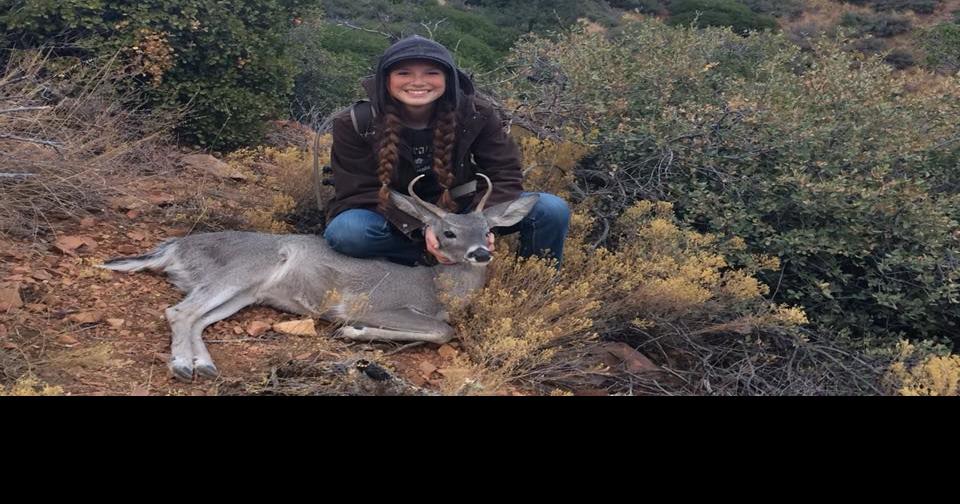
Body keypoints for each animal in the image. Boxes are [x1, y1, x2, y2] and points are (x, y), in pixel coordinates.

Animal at [100, 174, 538, 381]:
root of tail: (173, 246)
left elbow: (442, 330)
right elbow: (442, 331)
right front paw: (353, 331)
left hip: (243, 292)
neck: (438, 290)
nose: (480, 253)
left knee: (196, 318)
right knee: (178, 312)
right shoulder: (382, 304)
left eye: (487, 231)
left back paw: (202, 366)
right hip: (243, 268)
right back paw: (182, 366)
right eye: (447, 232)